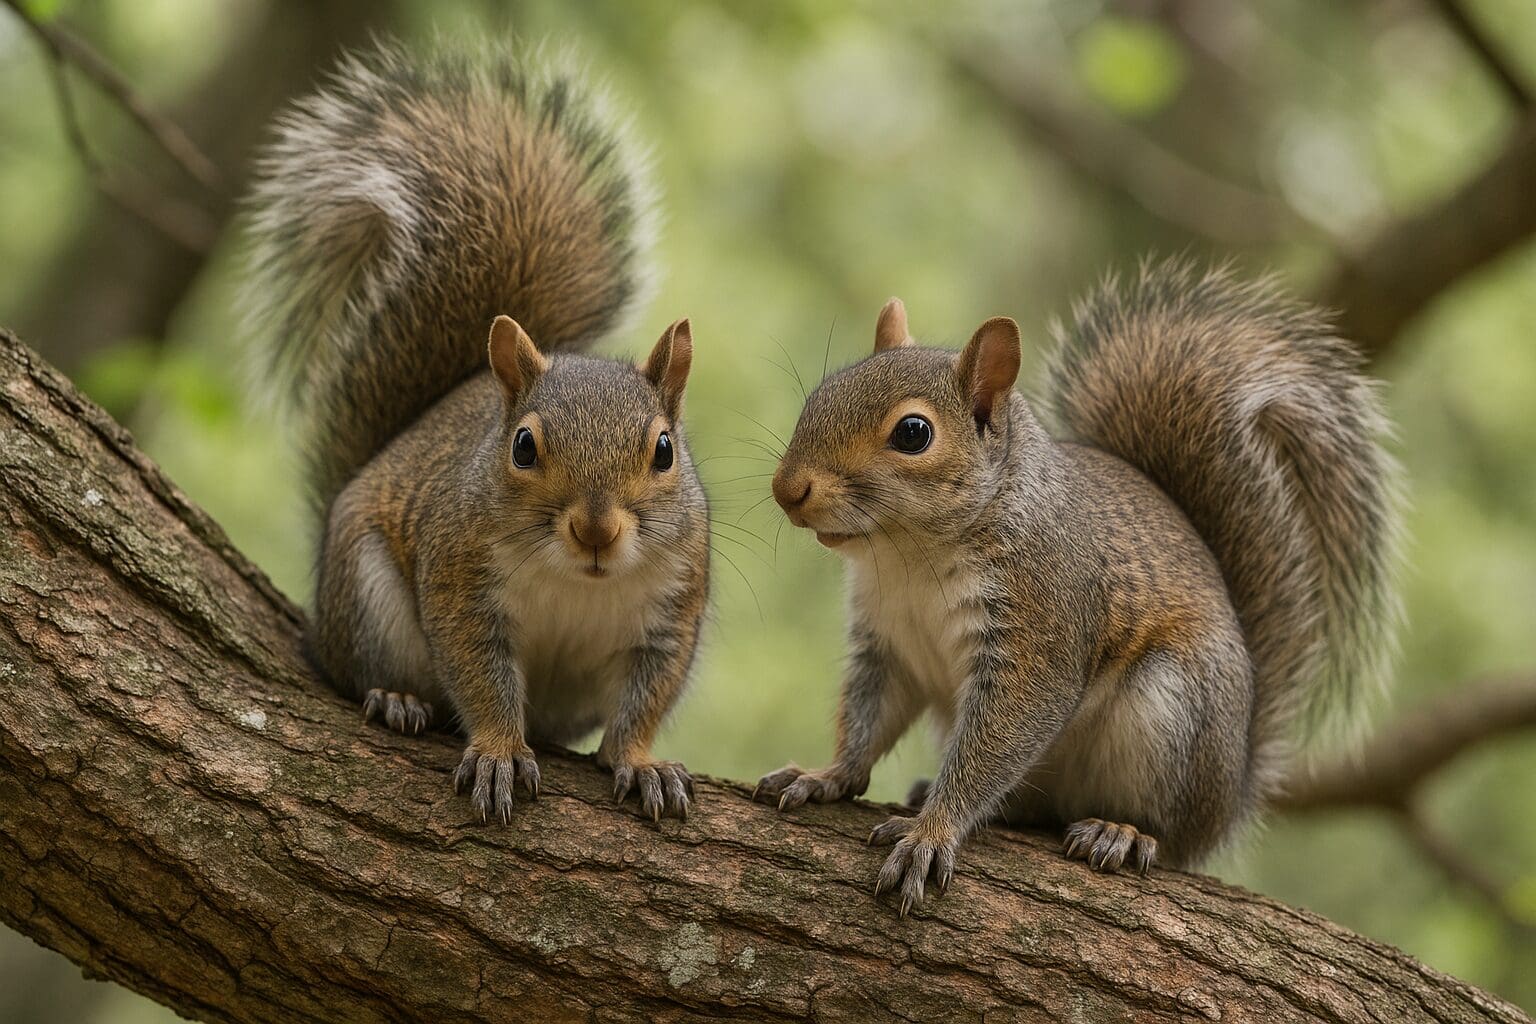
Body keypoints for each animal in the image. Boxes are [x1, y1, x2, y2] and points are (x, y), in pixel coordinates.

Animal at [243, 39, 710, 823]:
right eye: (522, 446)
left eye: (665, 451)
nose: (595, 530)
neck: (577, 580)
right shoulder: (460, 579)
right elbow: (480, 676)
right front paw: (497, 751)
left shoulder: (673, 605)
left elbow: (647, 699)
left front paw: (642, 762)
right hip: (366, 598)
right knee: (364, 670)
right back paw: (396, 698)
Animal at [755, 261, 1401, 913]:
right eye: (820, 394)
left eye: (913, 433)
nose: (787, 490)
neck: (909, 555)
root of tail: (1230, 794)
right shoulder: (890, 644)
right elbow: (869, 716)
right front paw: (826, 776)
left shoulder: (1043, 619)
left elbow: (999, 736)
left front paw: (930, 833)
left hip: (1172, 713)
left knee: (1170, 835)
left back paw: (1122, 831)